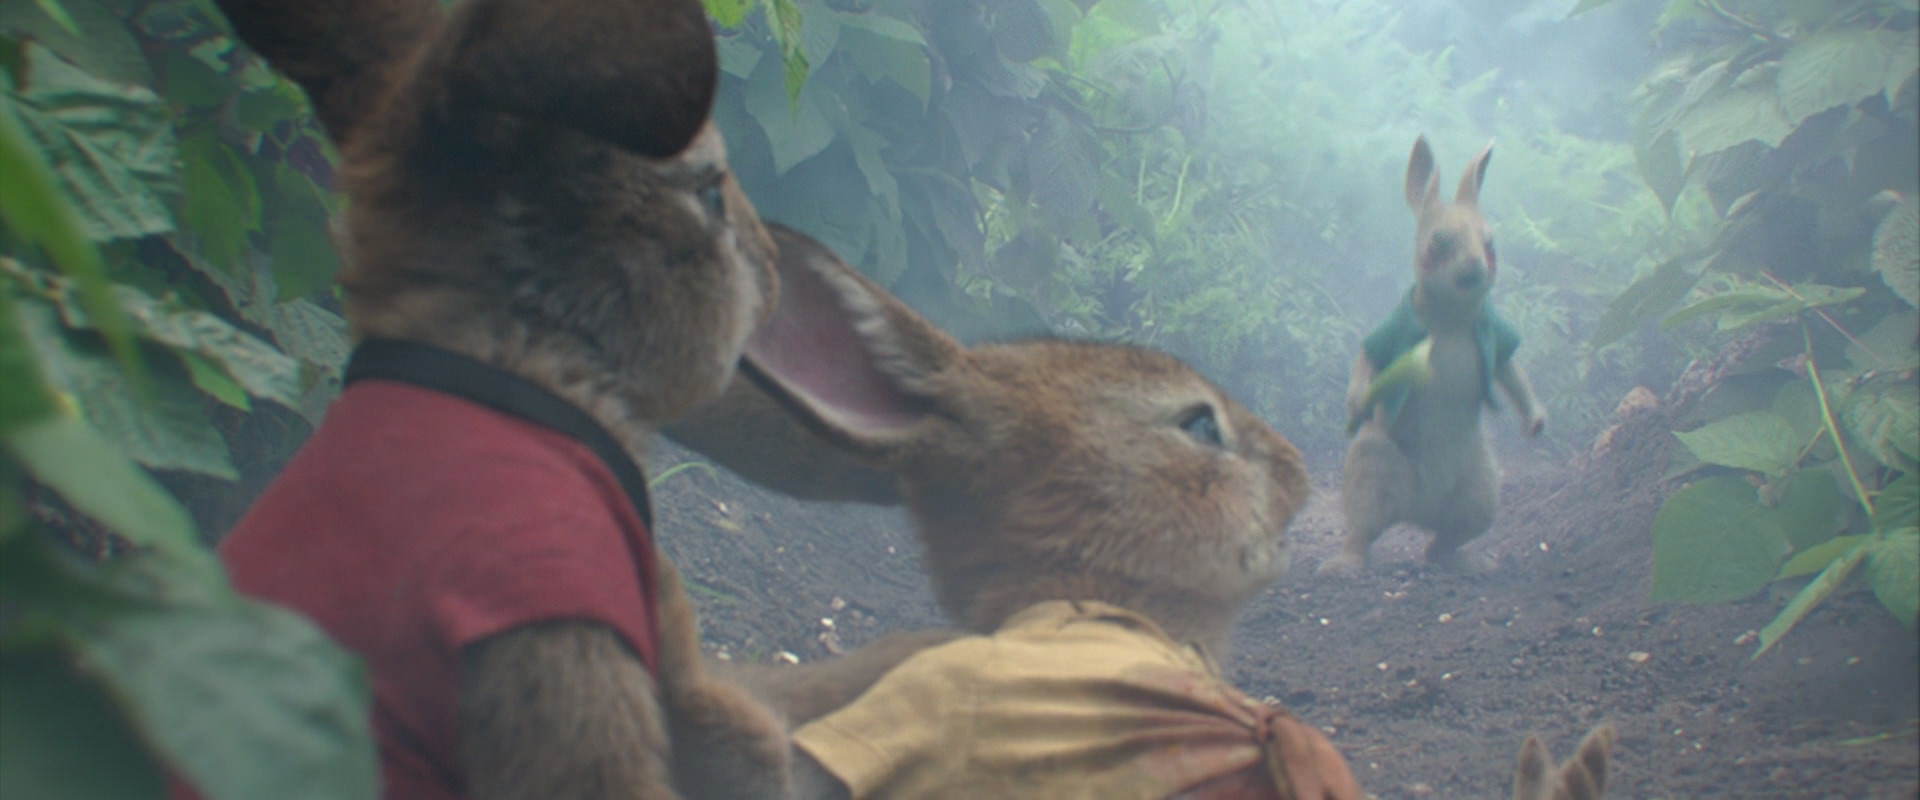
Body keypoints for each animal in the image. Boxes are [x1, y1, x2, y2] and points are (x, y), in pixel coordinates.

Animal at [1319, 136, 1546, 577]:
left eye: (1490, 243)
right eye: (1439, 241)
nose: (1475, 269)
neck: (1451, 319)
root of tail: (1419, 512)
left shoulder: (1491, 334)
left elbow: (1510, 371)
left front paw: (1536, 422)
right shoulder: (1392, 330)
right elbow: (1367, 360)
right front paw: (1355, 403)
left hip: (1481, 489)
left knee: (1445, 540)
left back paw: (1471, 562)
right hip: (1373, 467)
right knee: (1362, 532)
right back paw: (1343, 566)